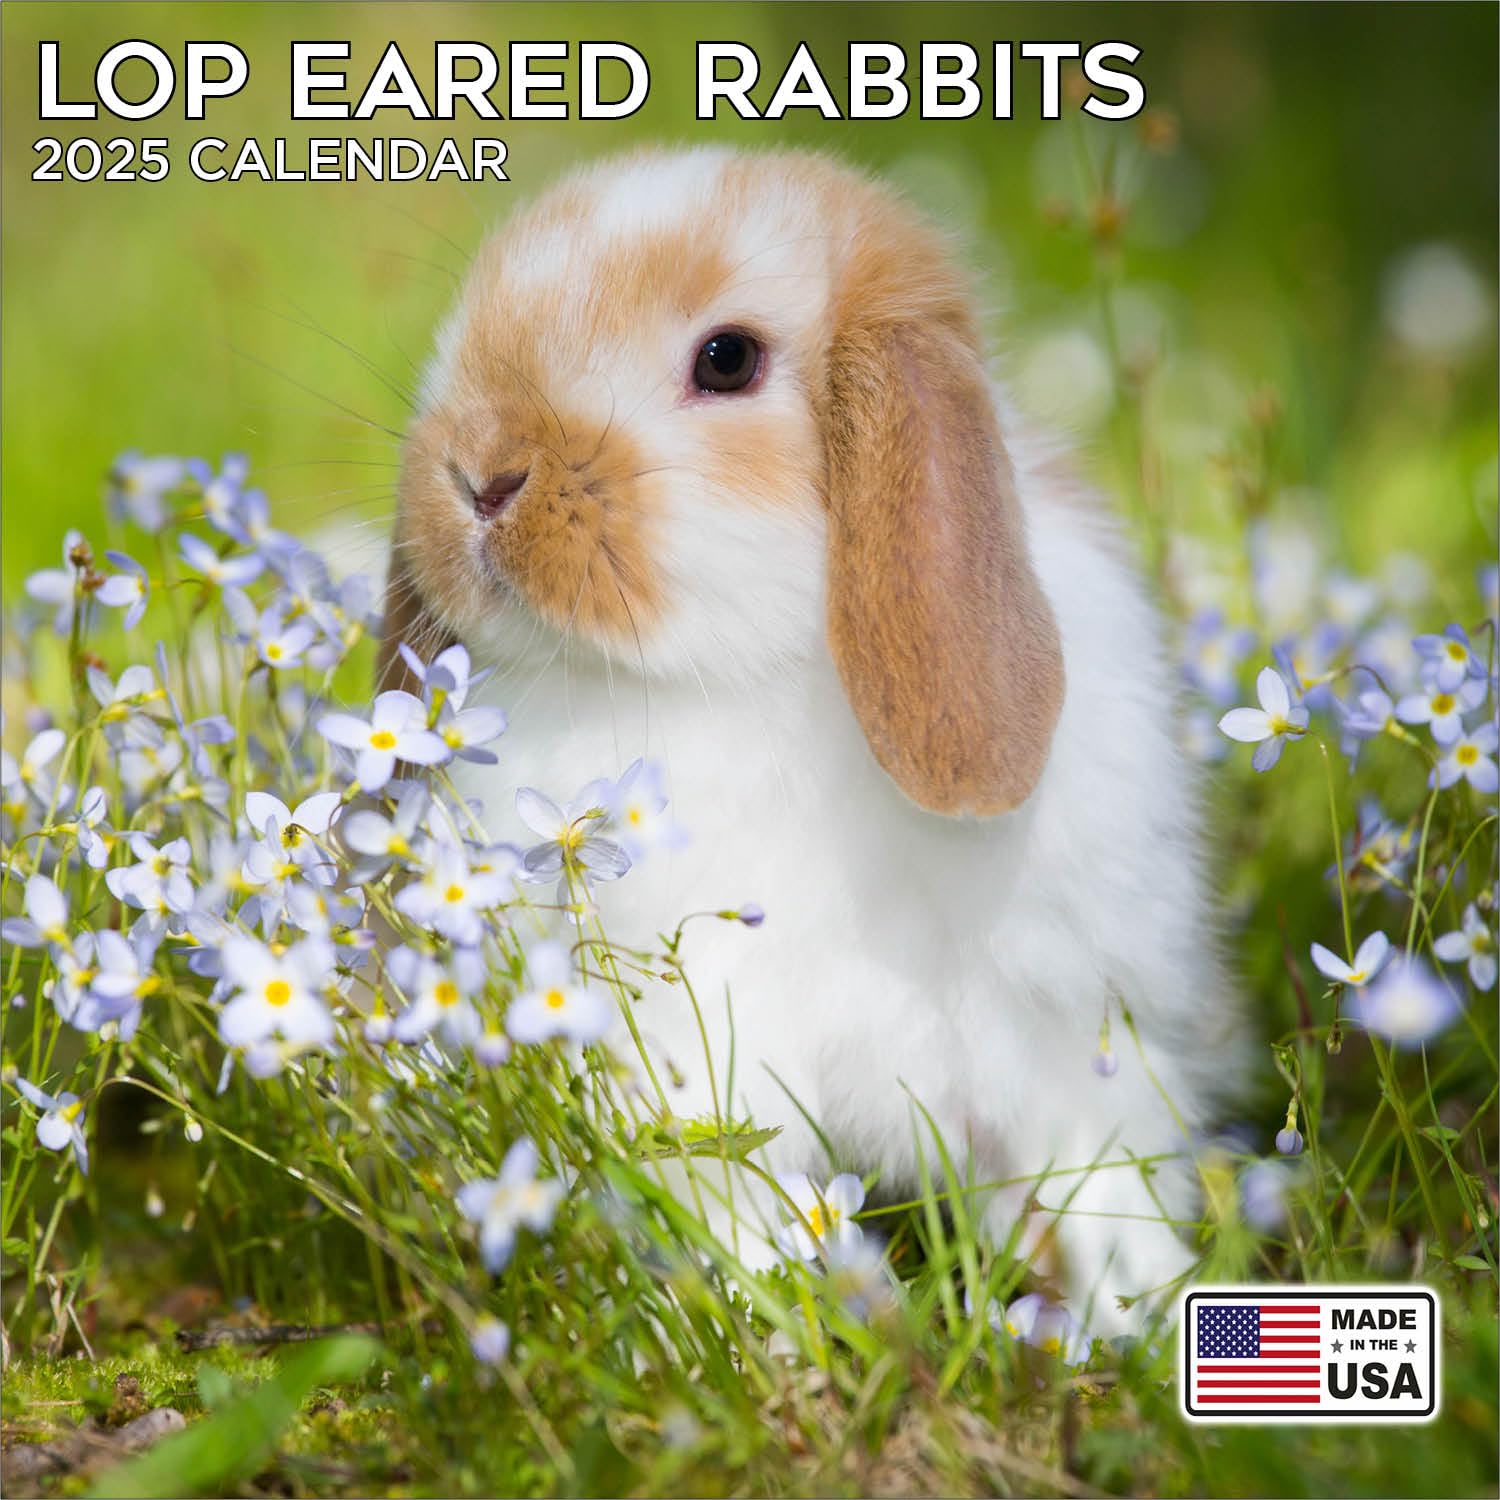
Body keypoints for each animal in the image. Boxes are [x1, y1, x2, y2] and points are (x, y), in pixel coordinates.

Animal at [379, 145, 1247, 1333]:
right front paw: (800, 1322)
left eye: (728, 359)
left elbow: (1097, 1183)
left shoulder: (1065, 1035)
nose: (478, 476)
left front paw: (1139, 1314)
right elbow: (735, 1205)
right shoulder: (701, 1069)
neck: (755, 667)